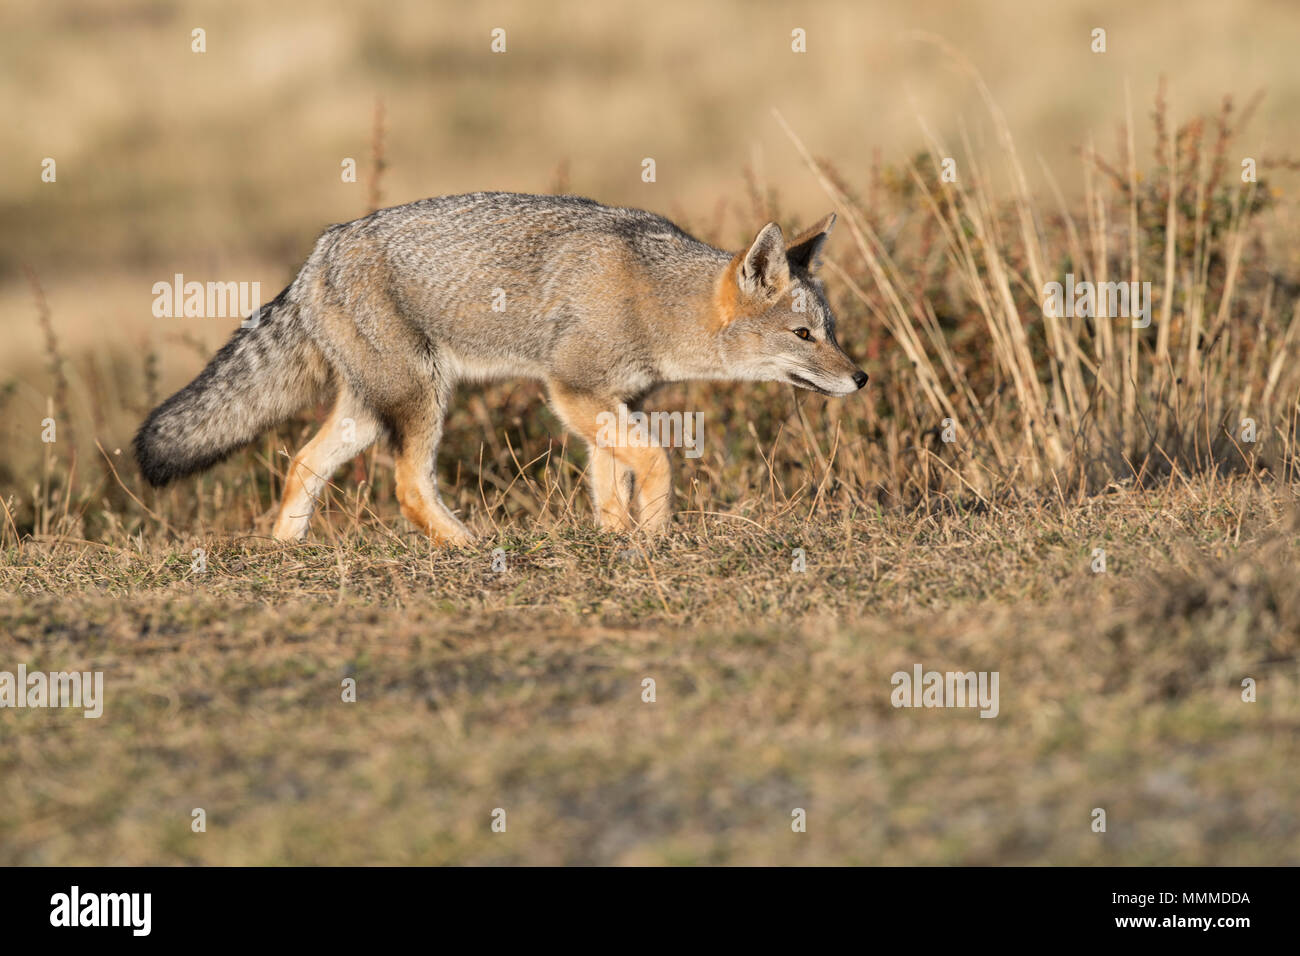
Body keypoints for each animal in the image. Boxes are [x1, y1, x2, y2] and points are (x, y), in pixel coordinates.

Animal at [133, 192, 868, 544]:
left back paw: (289, 552)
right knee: (407, 487)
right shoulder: (571, 391)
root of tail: (320, 253)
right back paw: (467, 547)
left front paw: (616, 537)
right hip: (421, 401)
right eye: (804, 335)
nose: (860, 378)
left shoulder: (616, 401)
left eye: (831, 332)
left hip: (371, 411)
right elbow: (656, 461)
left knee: (302, 464)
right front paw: (657, 532)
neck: (653, 293)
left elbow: (610, 482)